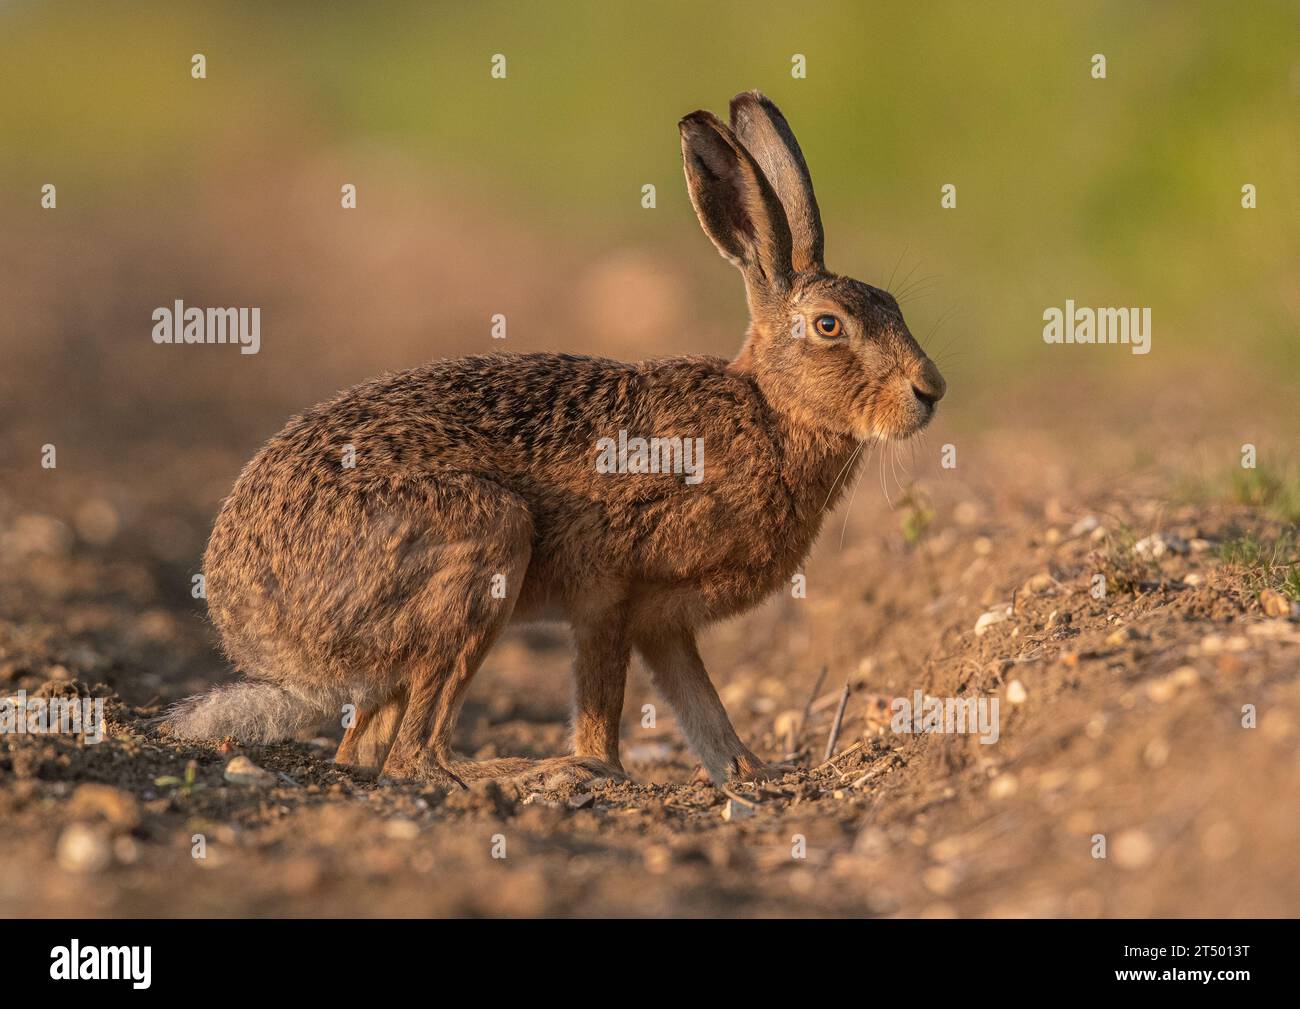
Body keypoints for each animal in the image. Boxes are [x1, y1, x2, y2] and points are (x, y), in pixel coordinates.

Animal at [165, 90, 946, 789]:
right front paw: (607, 769)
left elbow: (703, 708)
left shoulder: (663, 623)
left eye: (895, 306)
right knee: (413, 757)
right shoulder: (610, 593)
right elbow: (604, 703)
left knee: (364, 754)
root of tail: (261, 634)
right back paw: (536, 772)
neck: (771, 411)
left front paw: (757, 772)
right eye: (829, 326)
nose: (930, 390)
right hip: (485, 539)